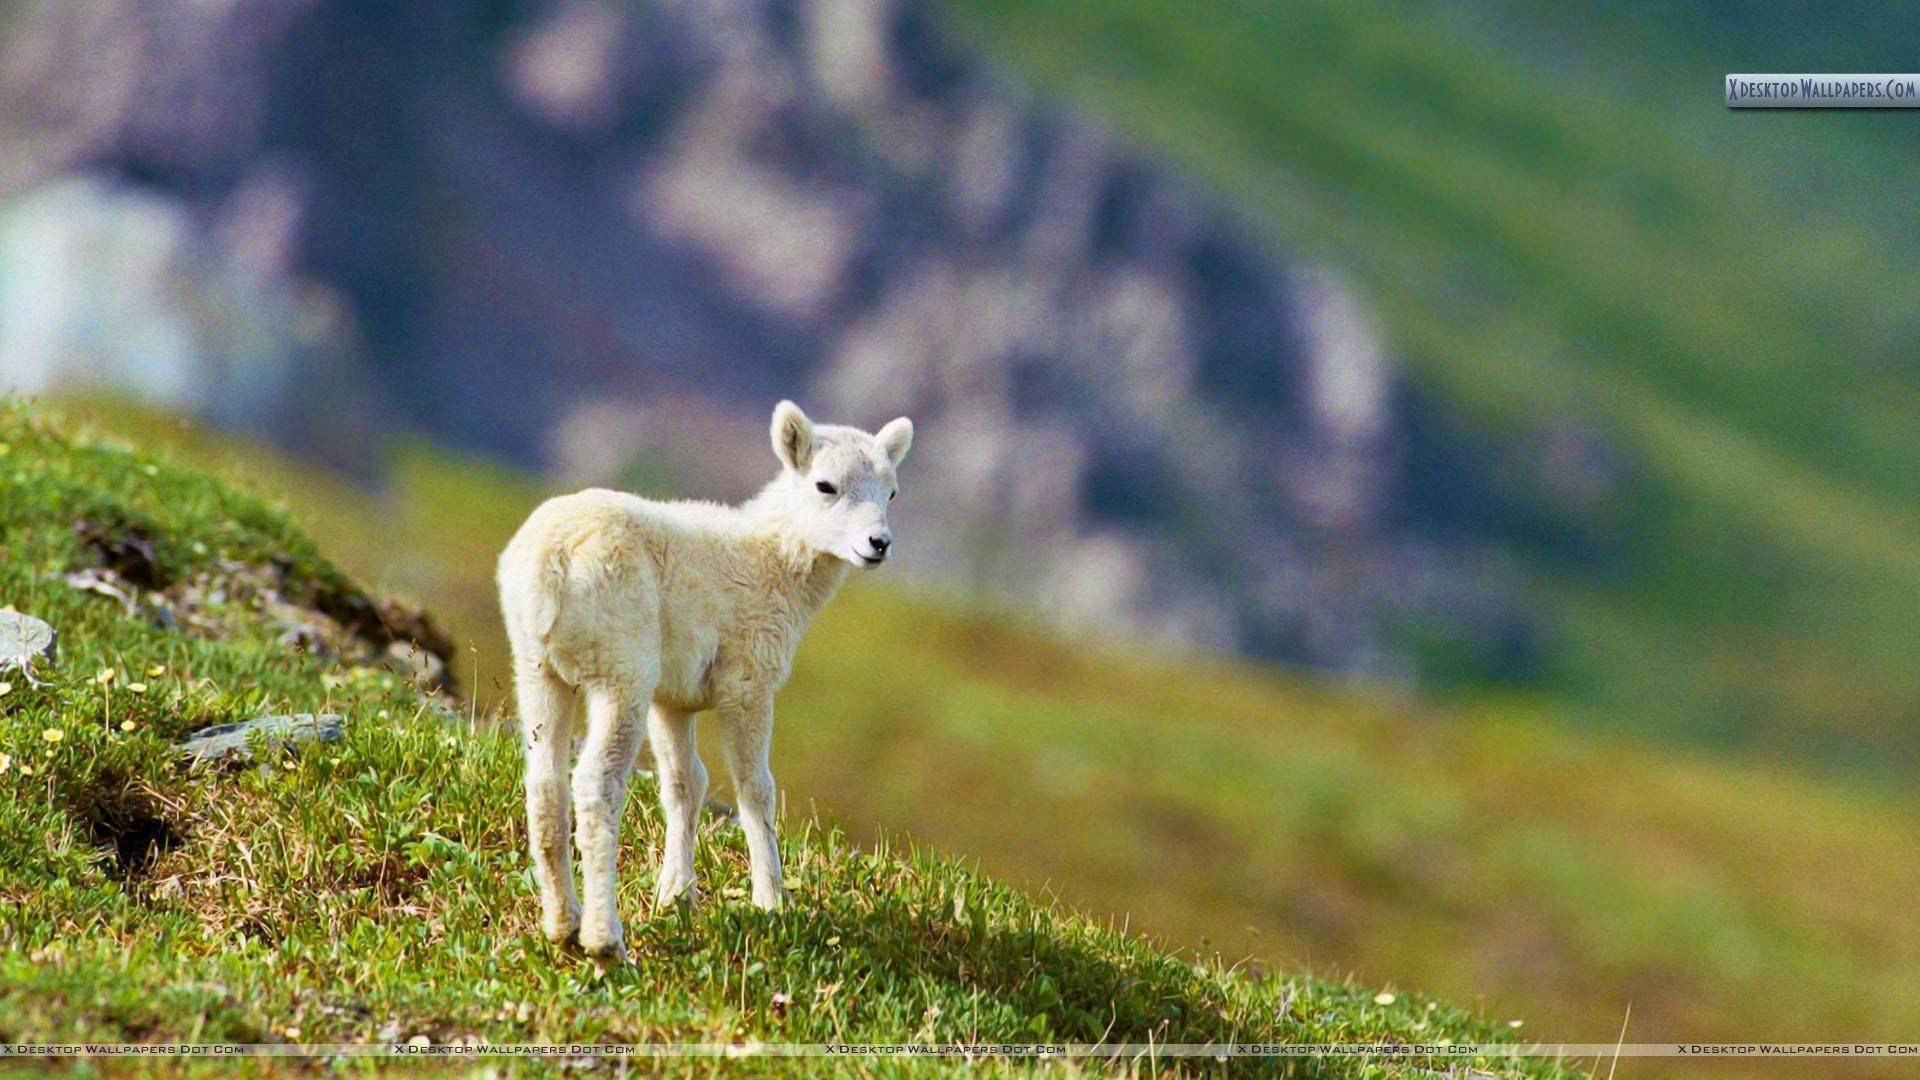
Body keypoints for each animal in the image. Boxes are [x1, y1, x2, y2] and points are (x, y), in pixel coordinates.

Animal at [497, 400, 913, 962]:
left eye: (891, 493)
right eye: (825, 485)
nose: (877, 545)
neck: (773, 563)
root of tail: (550, 565)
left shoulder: (673, 701)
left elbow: (684, 784)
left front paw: (677, 897)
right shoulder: (748, 685)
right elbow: (755, 789)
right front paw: (770, 901)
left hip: (538, 669)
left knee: (545, 786)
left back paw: (564, 926)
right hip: (621, 673)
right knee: (596, 785)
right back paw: (606, 942)